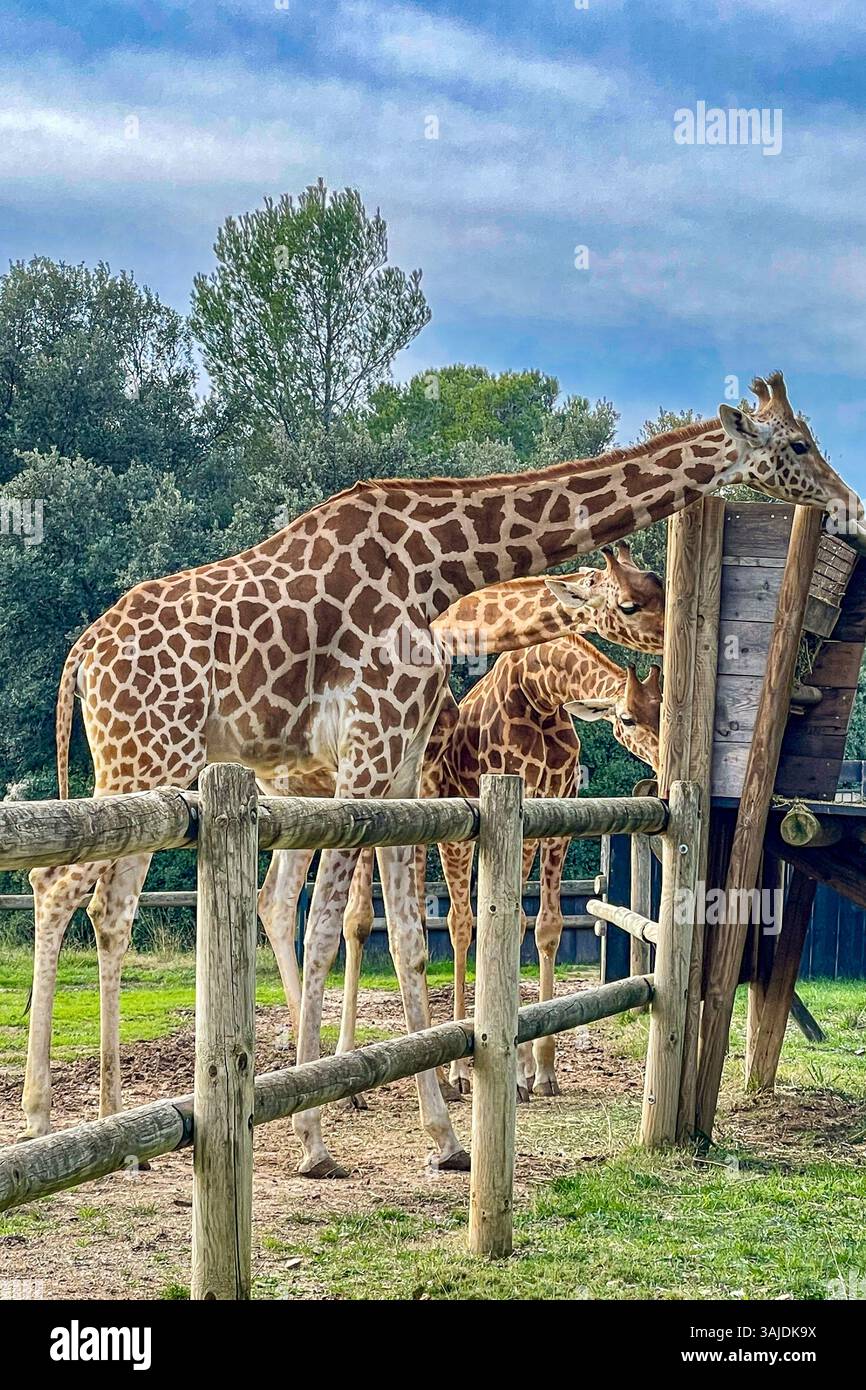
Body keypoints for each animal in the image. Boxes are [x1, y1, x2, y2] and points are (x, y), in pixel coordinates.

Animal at [22, 371, 861, 1179]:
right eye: (798, 442)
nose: (849, 506)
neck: (441, 566)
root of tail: (82, 655)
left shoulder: (397, 768)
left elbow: (407, 938)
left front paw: (444, 1134)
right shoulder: (371, 750)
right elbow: (338, 927)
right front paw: (314, 1136)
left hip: (163, 771)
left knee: (119, 906)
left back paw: (112, 1122)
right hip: (142, 756)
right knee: (60, 886)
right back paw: (43, 1119)